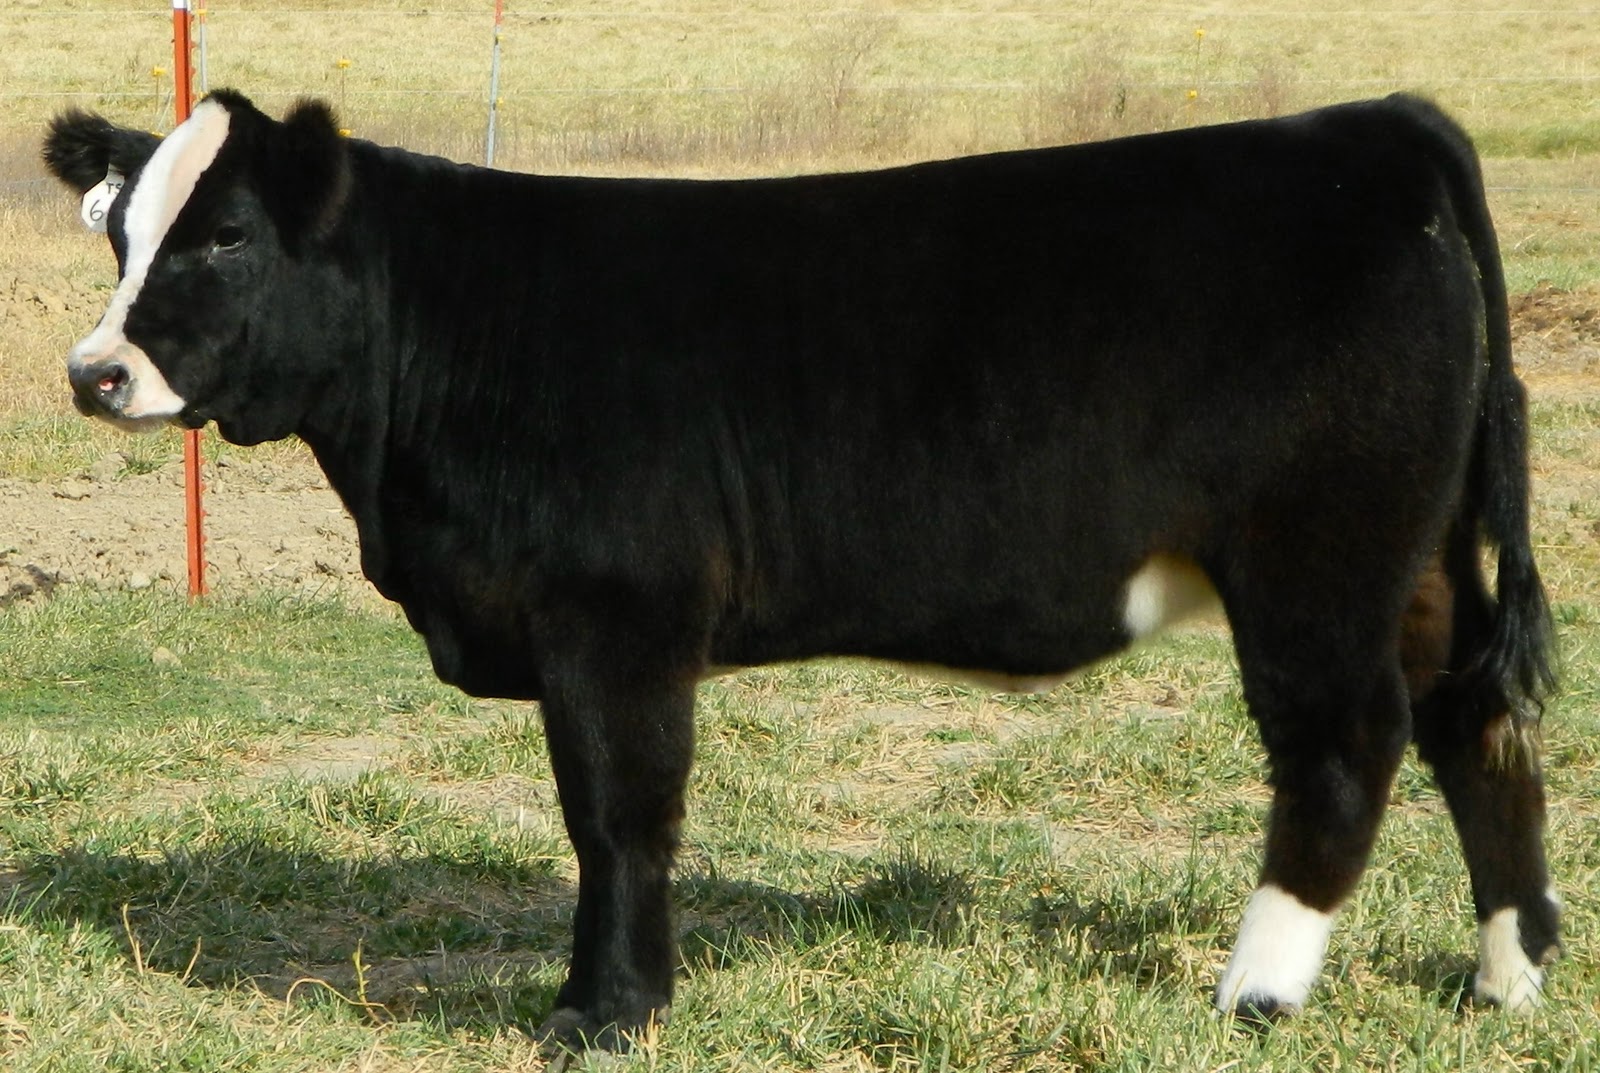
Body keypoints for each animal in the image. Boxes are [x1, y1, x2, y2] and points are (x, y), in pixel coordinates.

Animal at [43, 89, 1558, 1050]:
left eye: (226, 232)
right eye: (117, 234)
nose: (93, 371)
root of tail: (1373, 125)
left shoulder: (616, 620)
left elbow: (618, 816)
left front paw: (605, 1011)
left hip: (1317, 558)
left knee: (1344, 747)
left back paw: (1257, 993)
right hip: (1422, 562)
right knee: (1474, 725)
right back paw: (1505, 973)